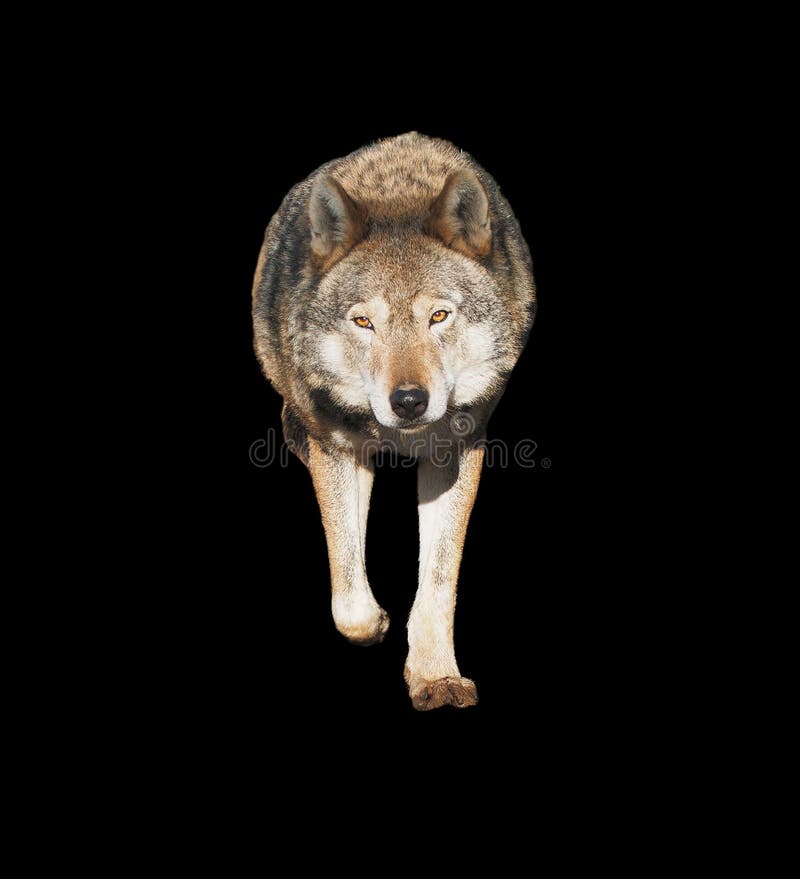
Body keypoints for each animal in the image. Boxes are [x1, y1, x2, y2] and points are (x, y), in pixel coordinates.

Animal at [252, 132, 535, 710]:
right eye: (364, 321)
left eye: (438, 316)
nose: (408, 401)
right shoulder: (337, 448)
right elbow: (350, 601)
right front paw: (378, 622)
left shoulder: (457, 451)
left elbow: (438, 583)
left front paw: (436, 677)